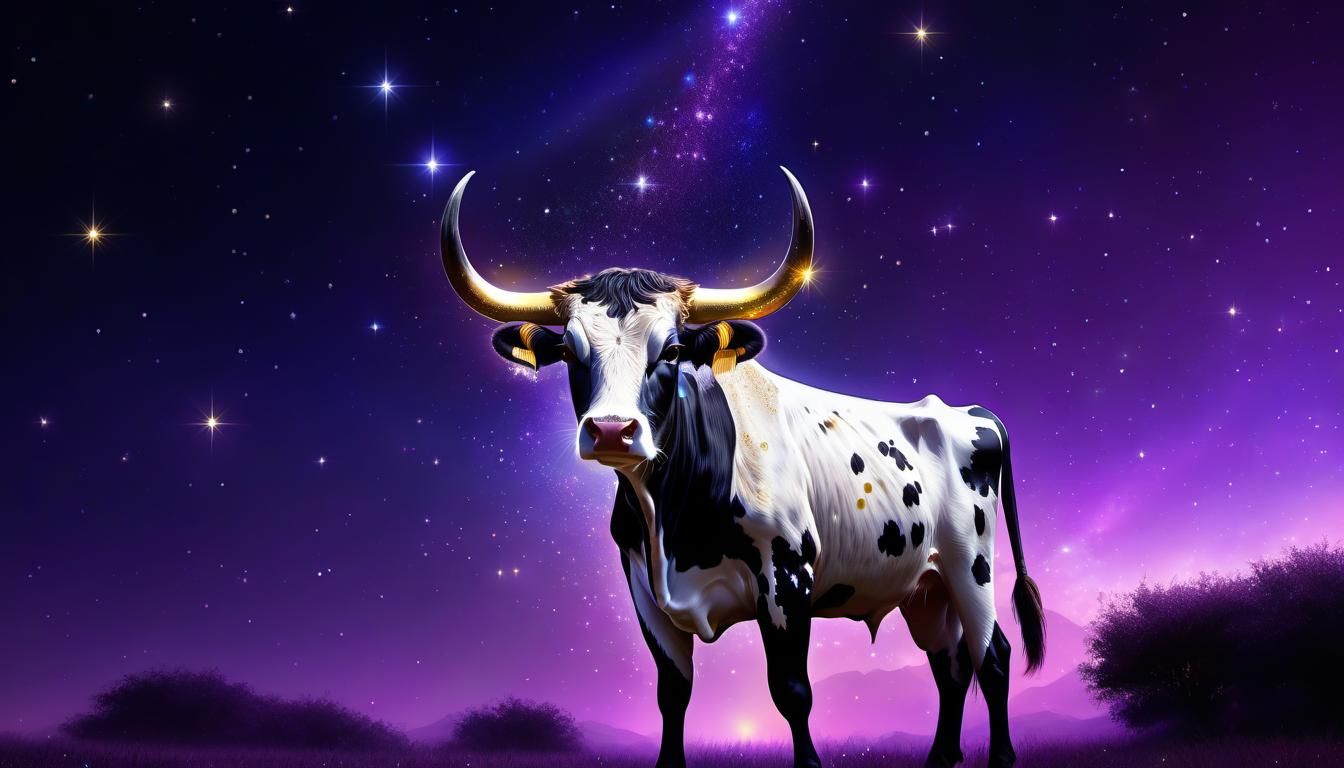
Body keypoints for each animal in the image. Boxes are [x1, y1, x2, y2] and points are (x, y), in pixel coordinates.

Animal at [438, 168, 1045, 768]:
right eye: (568, 352)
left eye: (673, 350)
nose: (612, 430)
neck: (674, 516)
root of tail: (968, 412)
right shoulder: (643, 589)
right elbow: (673, 694)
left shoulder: (788, 579)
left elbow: (792, 692)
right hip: (925, 587)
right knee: (950, 666)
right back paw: (940, 759)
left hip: (971, 565)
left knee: (992, 657)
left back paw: (1002, 758)